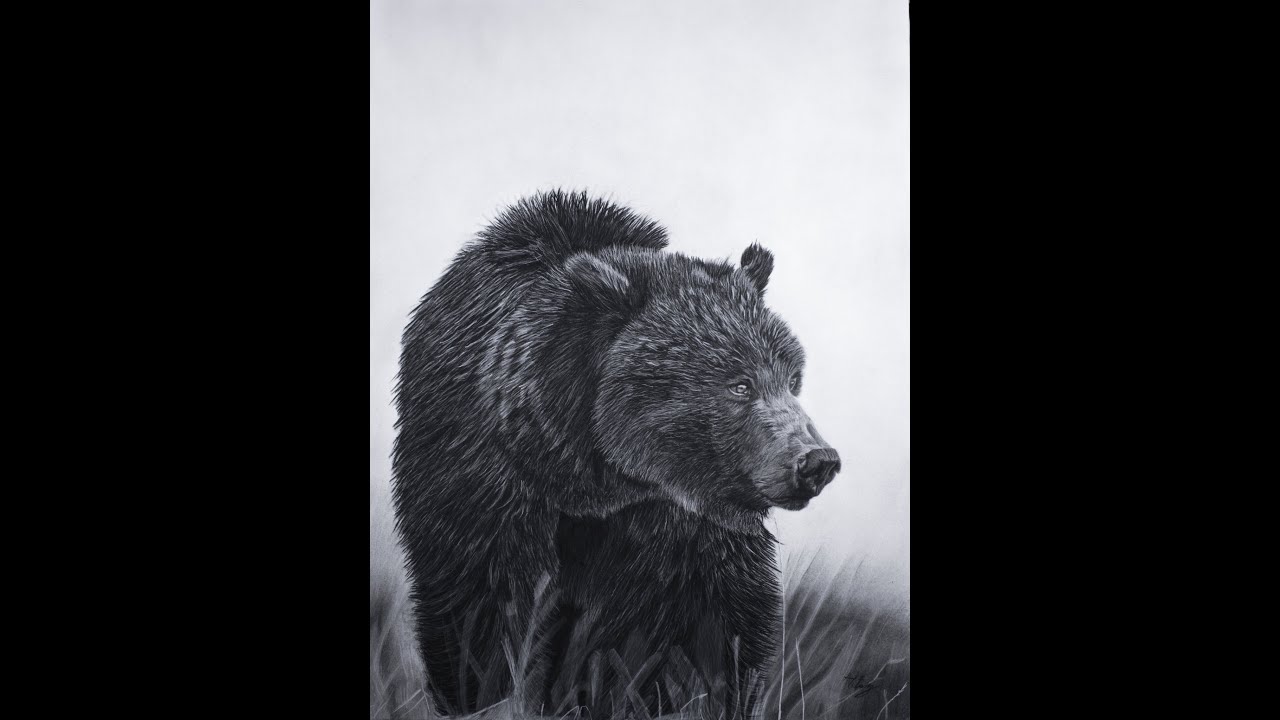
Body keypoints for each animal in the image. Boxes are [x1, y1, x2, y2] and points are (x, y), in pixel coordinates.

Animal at [391, 190, 841, 719]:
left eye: (792, 379)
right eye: (740, 385)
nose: (817, 461)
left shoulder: (690, 534)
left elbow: (717, 631)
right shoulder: (489, 483)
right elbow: (482, 606)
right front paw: (487, 694)